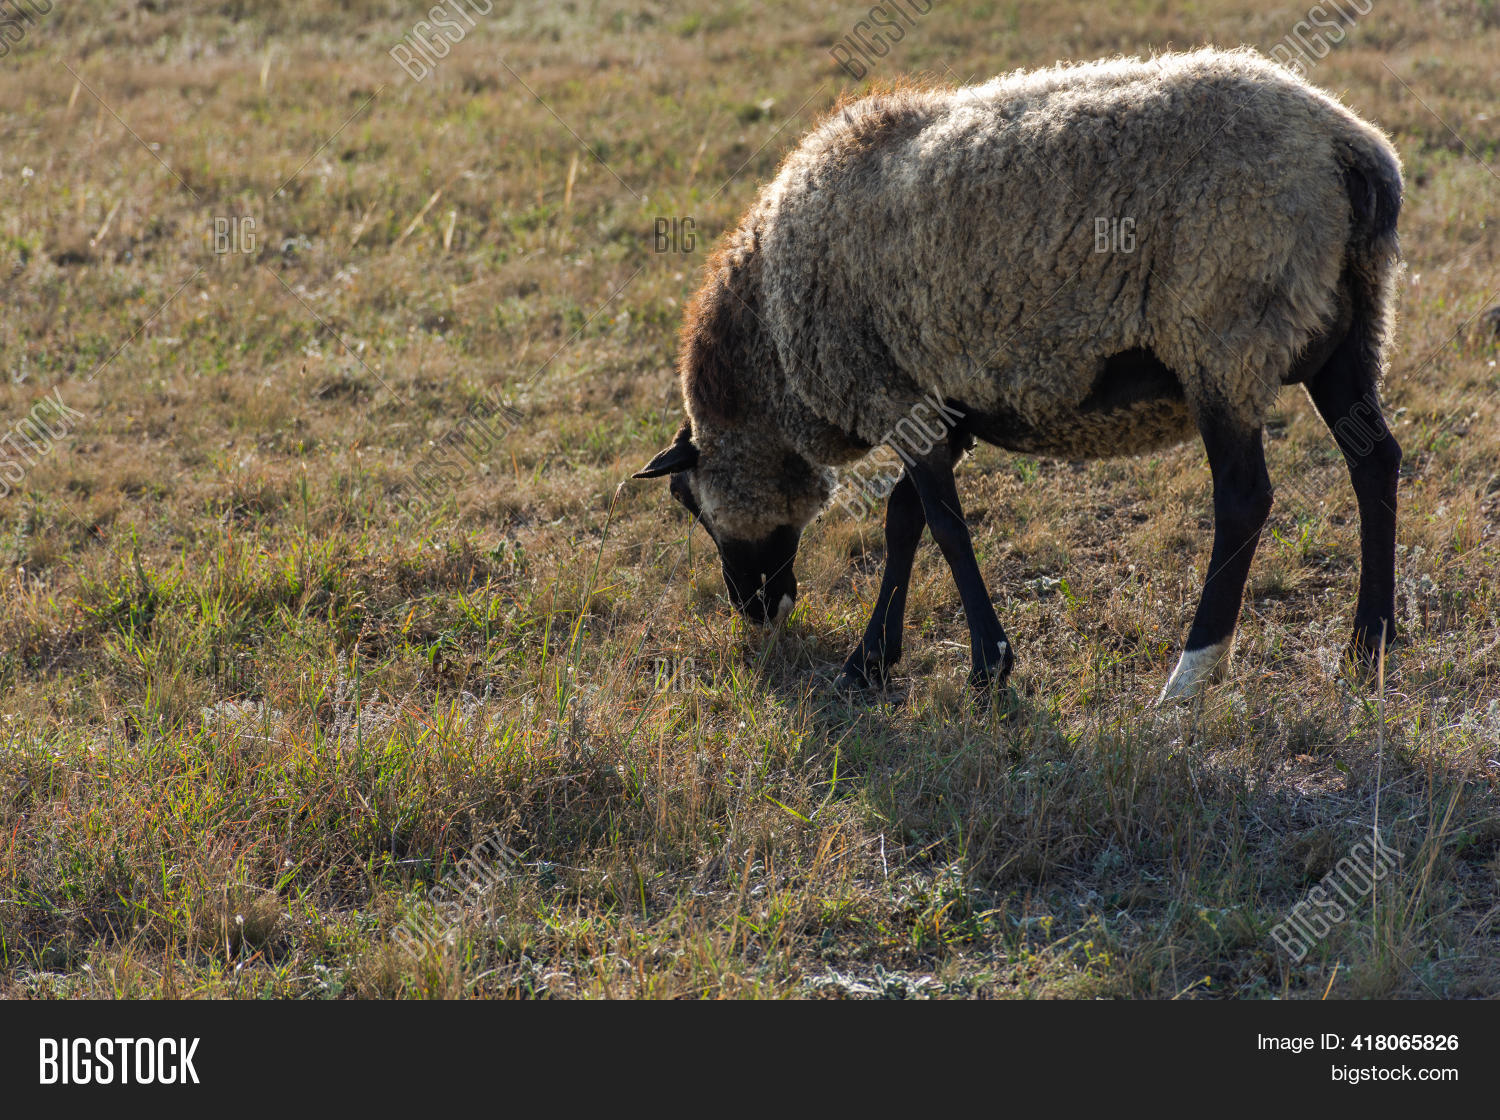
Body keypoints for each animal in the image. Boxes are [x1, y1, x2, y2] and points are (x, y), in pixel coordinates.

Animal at [635, 47, 1404, 702]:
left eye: (687, 502)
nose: (755, 611)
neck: (771, 340)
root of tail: (1348, 146)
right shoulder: (938, 404)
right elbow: (905, 521)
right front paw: (871, 661)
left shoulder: (892, 396)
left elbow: (945, 529)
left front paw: (987, 663)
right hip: (1346, 331)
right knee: (1375, 460)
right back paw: (1369, 644)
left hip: (1223, 339)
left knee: (1245, 499)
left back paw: (1190, 676)